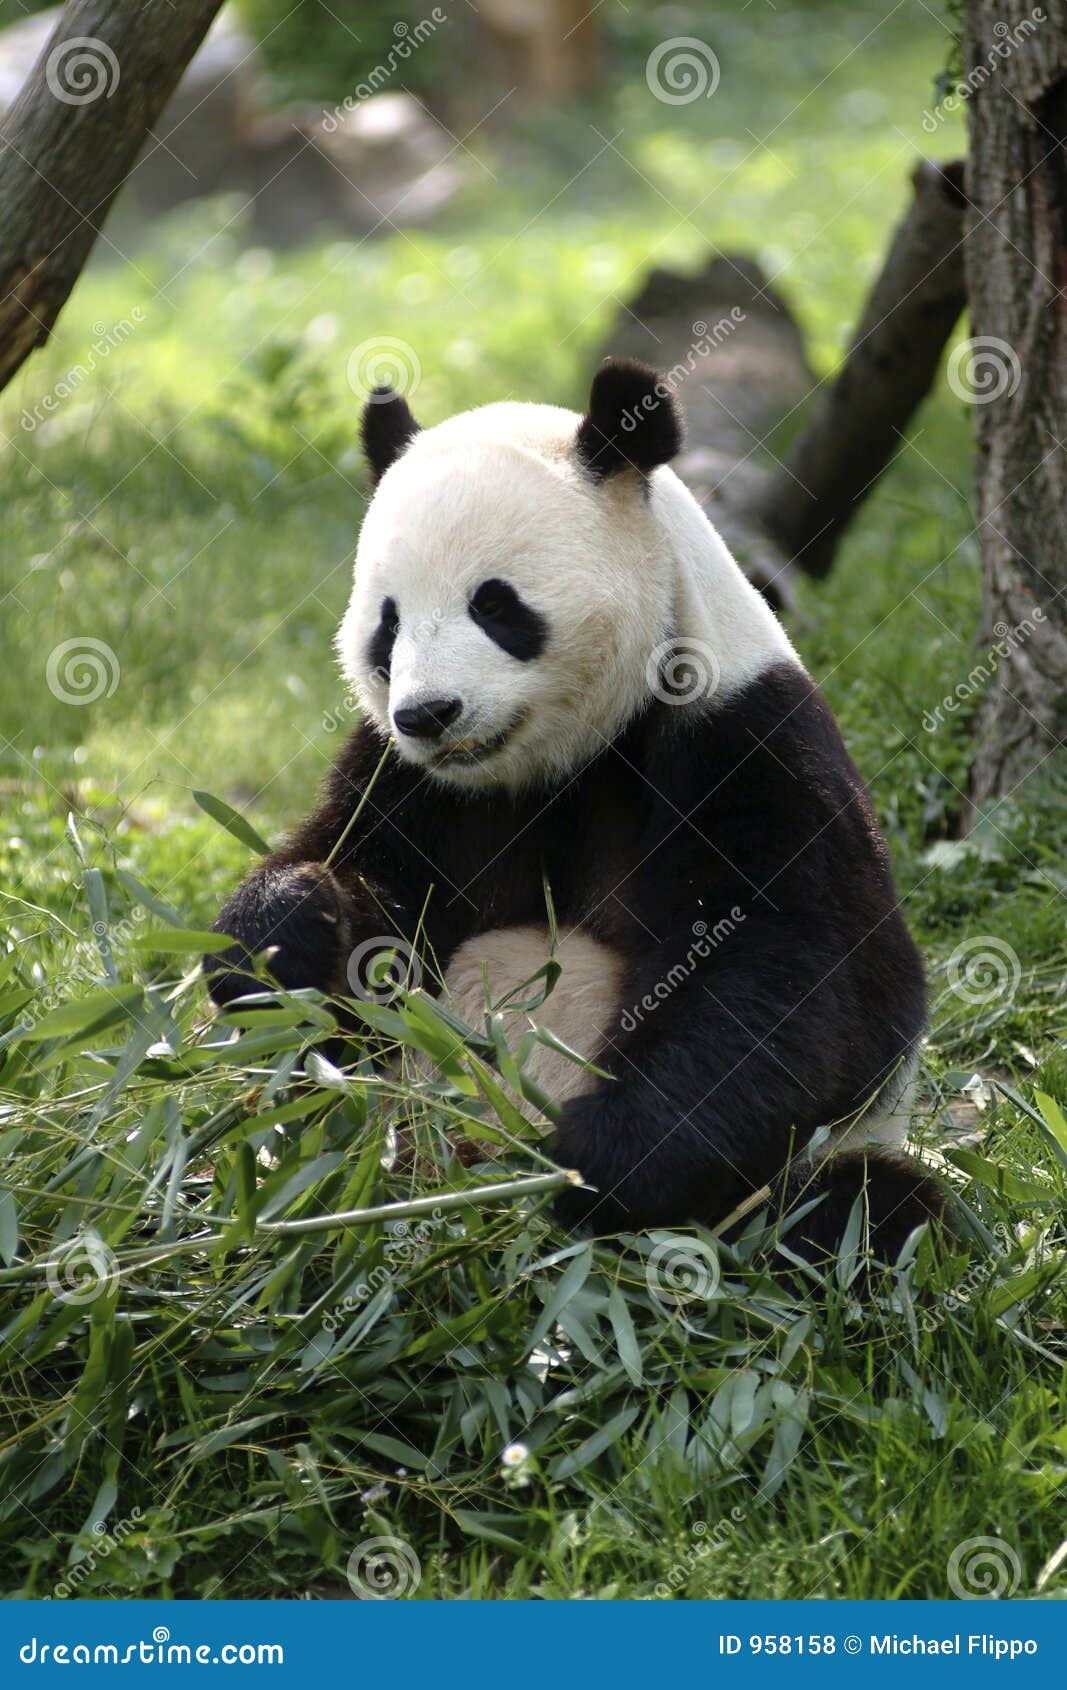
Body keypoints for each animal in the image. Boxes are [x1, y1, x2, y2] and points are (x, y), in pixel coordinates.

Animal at [206, 359, 940, 1262]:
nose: (429, 713)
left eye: (495, 605)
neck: (562, 761)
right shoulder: (410, 784)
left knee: (863, 1212)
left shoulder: (745, 741)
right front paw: (284, 928)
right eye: (388, 623)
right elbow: (355, 914)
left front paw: (593, 1160)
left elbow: (807, 980)